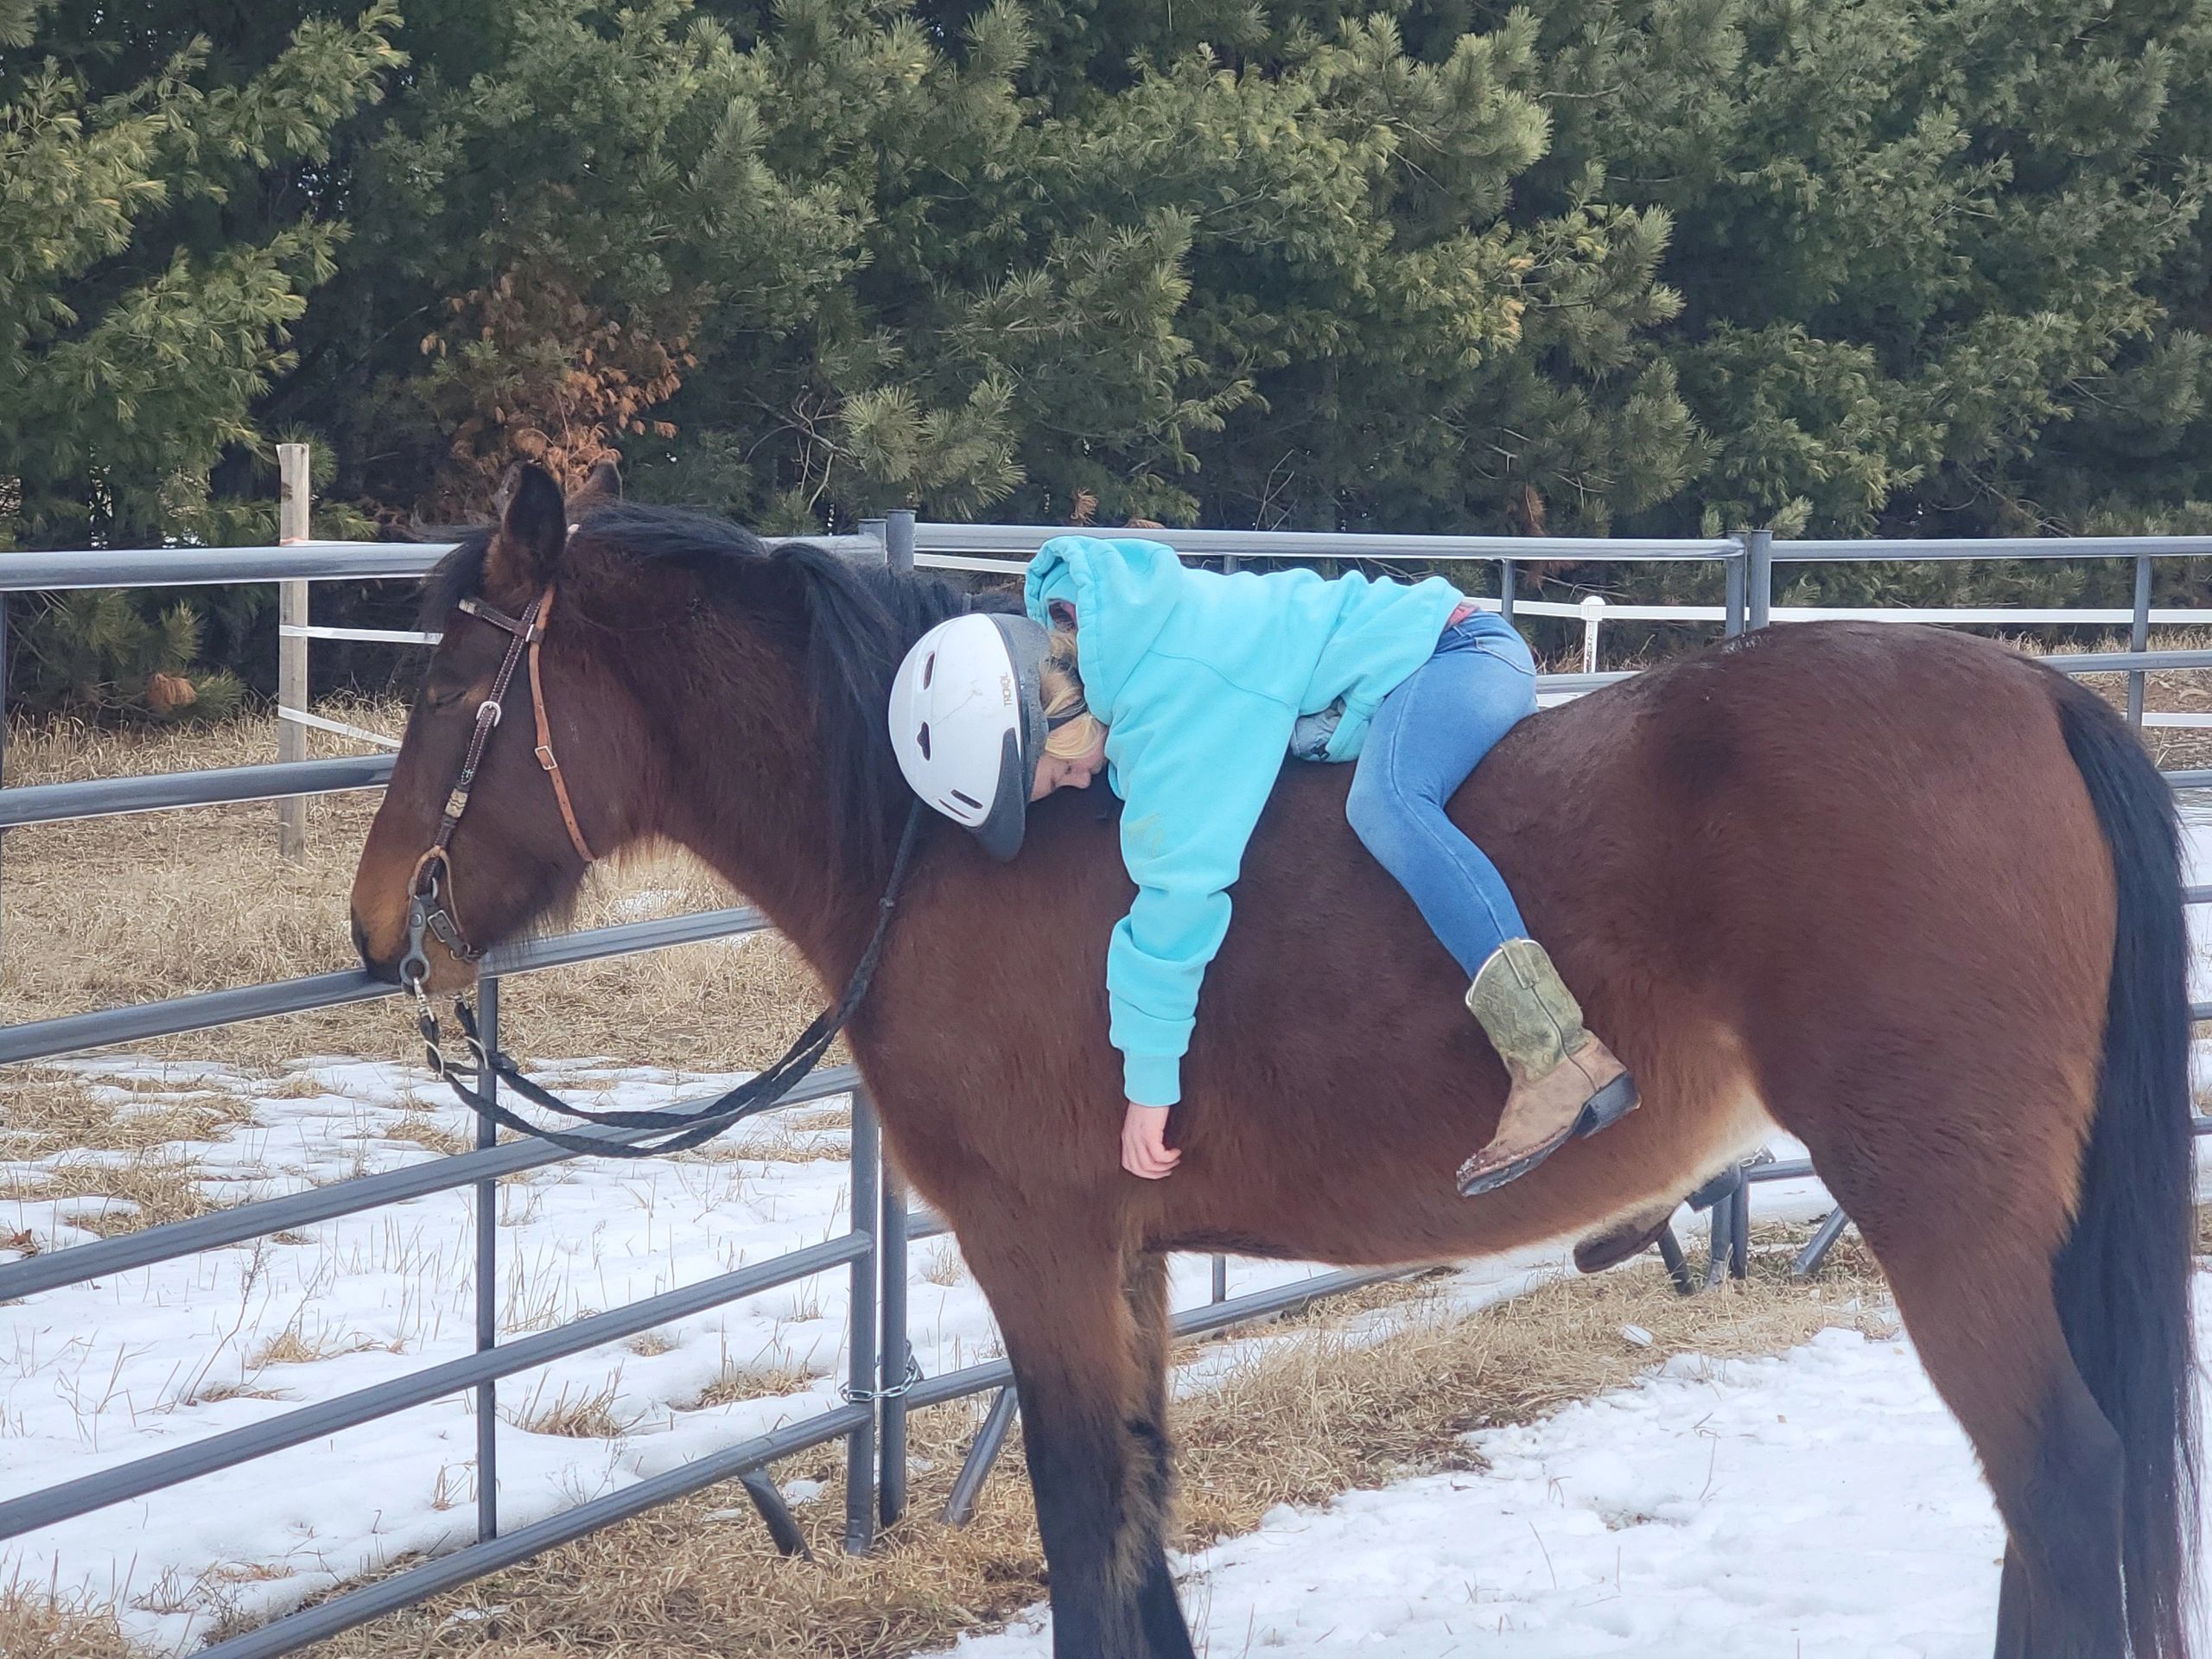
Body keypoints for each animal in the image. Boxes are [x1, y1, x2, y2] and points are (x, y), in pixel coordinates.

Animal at [351, 463, 2197, 1659]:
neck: (951, 841)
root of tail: (2041, 703)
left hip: (1944, 1216)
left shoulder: (1041, 1252)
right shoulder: (1133, 1264)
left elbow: (1090, 1542)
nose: (381, 930)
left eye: (455, 685)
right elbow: (1140, 1537)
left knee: (2064, 1485)